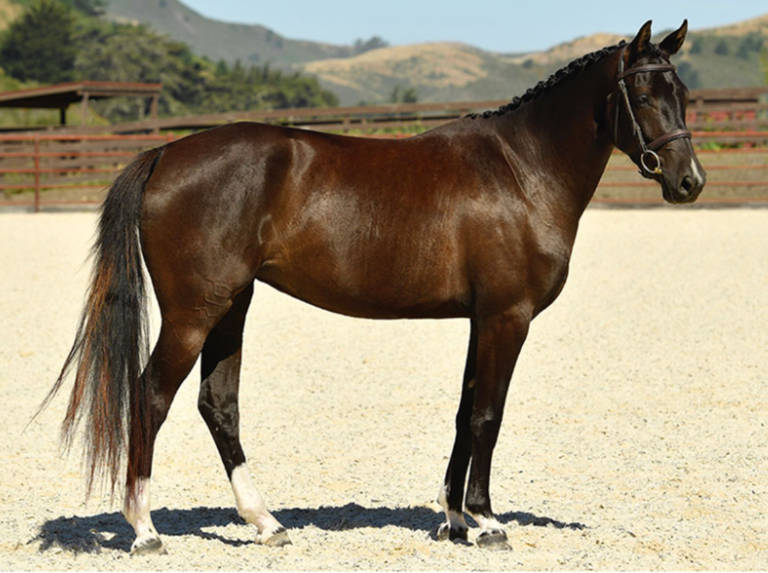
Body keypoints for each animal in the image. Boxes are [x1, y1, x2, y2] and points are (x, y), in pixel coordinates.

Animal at [42, 20, 704, 553]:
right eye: (643, 93)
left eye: (684, 95)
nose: (689, 182)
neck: (520, 170)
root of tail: (165, 153)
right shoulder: (506, 317)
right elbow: (488, 414)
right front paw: (488, 522)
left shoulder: (480, 319)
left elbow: (464, 411)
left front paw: (453, 520)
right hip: (193, 313)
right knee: (151, 396)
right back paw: (145, 530)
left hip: (231, 305)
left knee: (218, 405)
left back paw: (266, 523)